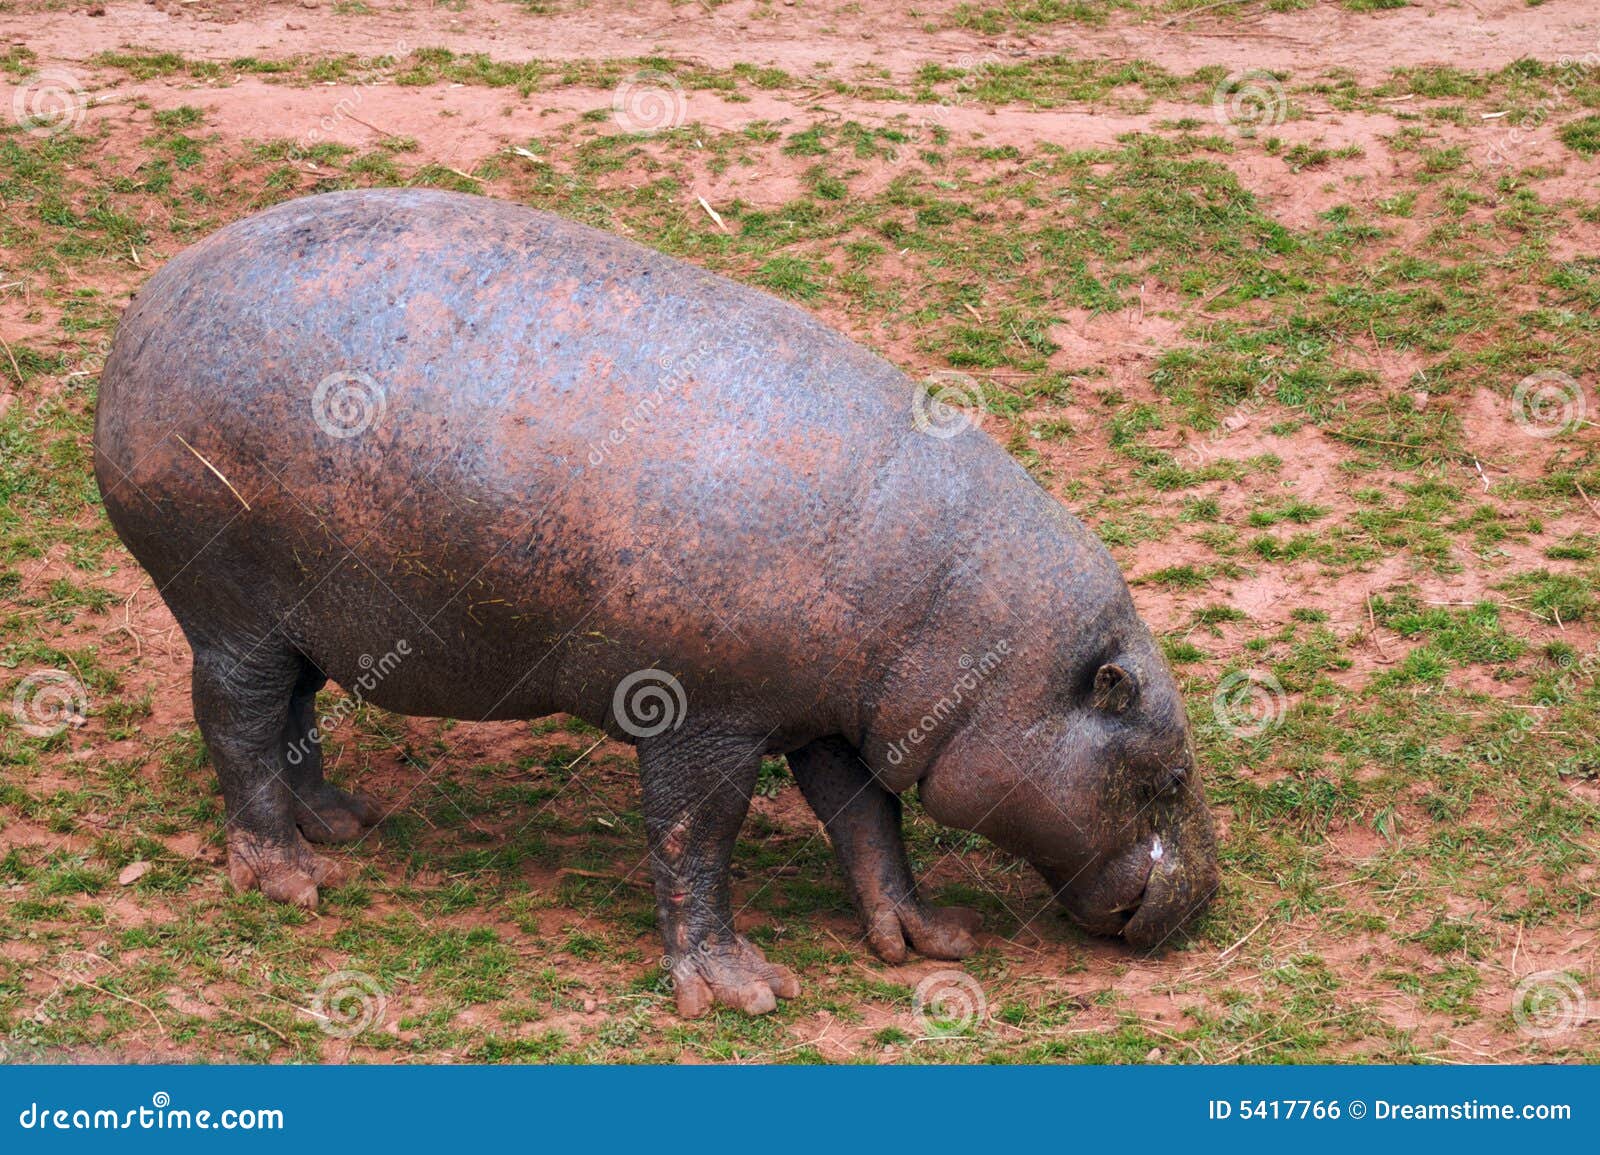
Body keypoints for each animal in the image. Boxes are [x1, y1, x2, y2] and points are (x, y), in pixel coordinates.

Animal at [94, 188, 1218, 1017]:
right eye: (1165, 771)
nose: (1205, 901)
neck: (964, 622)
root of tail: (146, 302)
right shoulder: (701, 717)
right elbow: (694, 841)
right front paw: (742, 991)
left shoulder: (832, 715)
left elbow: (867, 822)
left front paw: (927, 938)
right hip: (226, 606)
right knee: (237, 723)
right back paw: (290, 876)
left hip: (302, 616)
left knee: (293, 711)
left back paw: (339, 823)